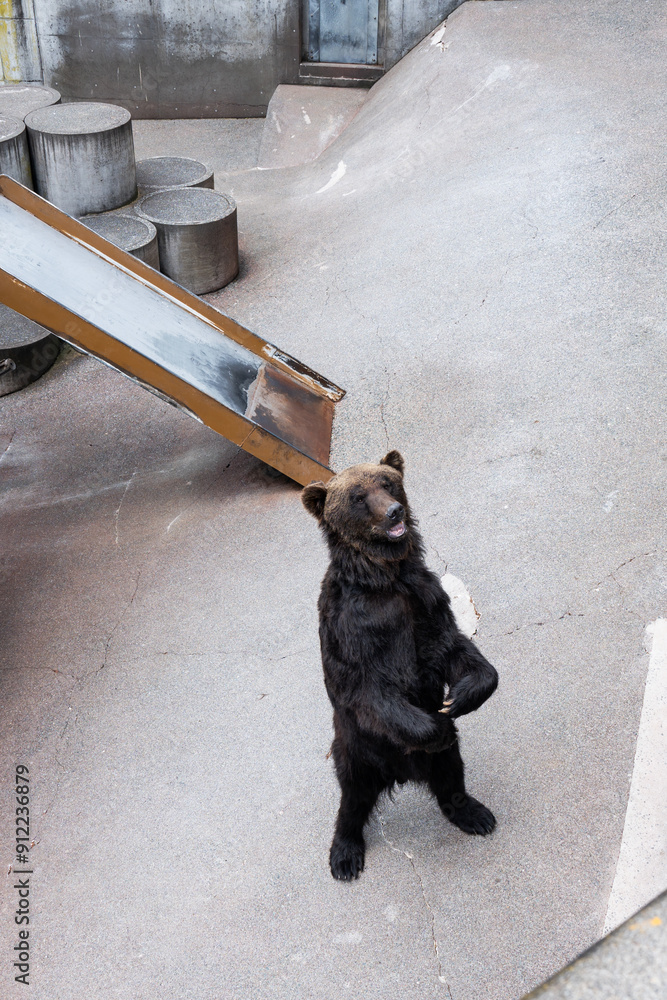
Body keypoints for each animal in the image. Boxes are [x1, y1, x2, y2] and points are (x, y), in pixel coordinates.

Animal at [301, 450, 498, 880]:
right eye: (357, 497)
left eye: (388, 482)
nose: (394, 512)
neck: (383, 578)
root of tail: (400, 775)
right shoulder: (353, 629)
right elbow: (367, 689)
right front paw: (438, 725)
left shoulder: (424, 602)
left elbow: (454, 648)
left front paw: (460, 698)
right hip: (356, 749)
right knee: (353, 799)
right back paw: (344, 854)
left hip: (440, 764)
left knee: (452, 777)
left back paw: (475, 813)